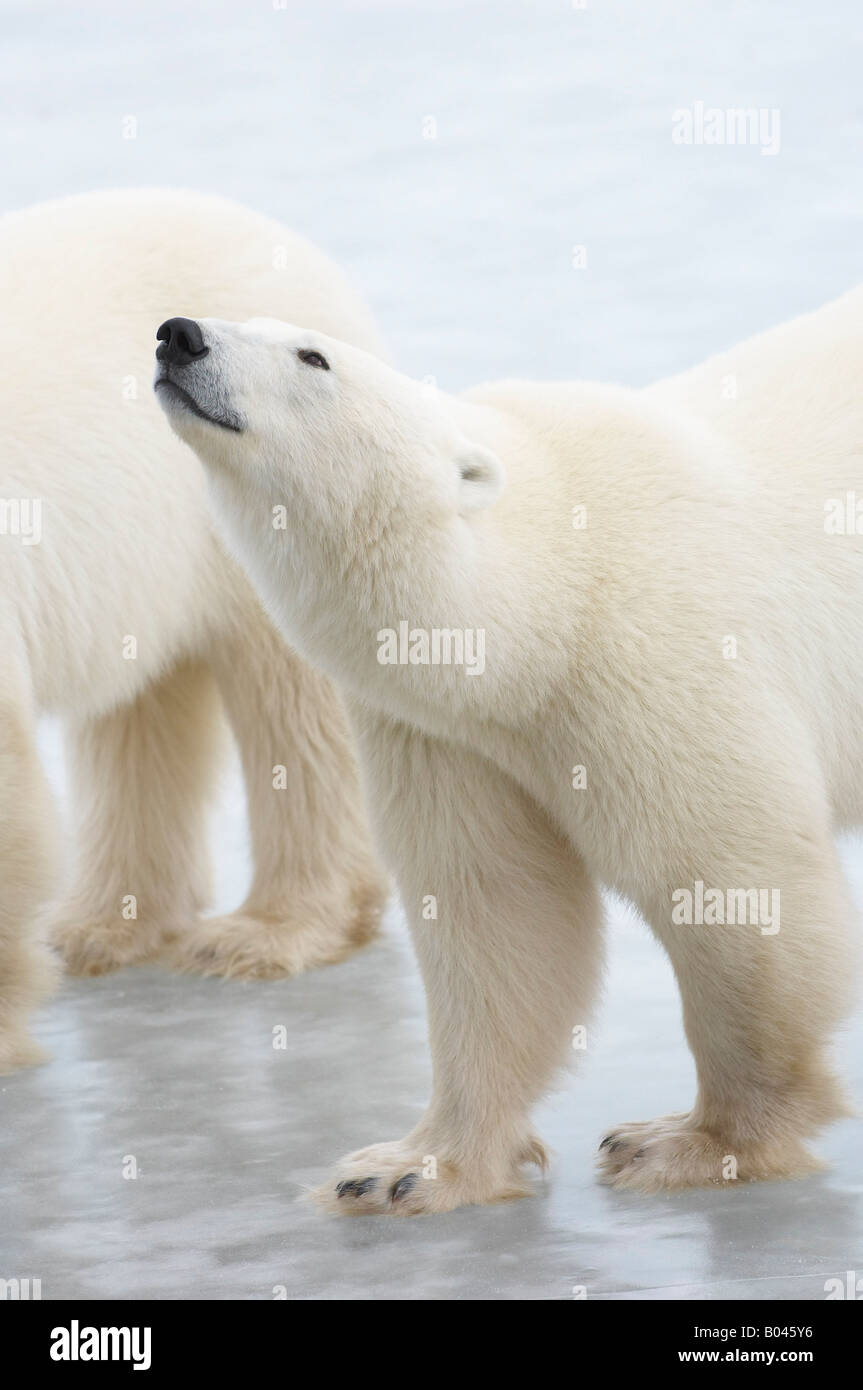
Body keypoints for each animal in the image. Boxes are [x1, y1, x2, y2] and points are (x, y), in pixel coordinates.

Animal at [153, 292, 862, 1214]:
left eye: (312, 356)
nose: (178, 335)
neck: (546, 595)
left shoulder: (657, 650)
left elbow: (726, 874)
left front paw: (694, 1142)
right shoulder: (447, 736)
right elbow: (495, 906)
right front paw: (402, 1169)